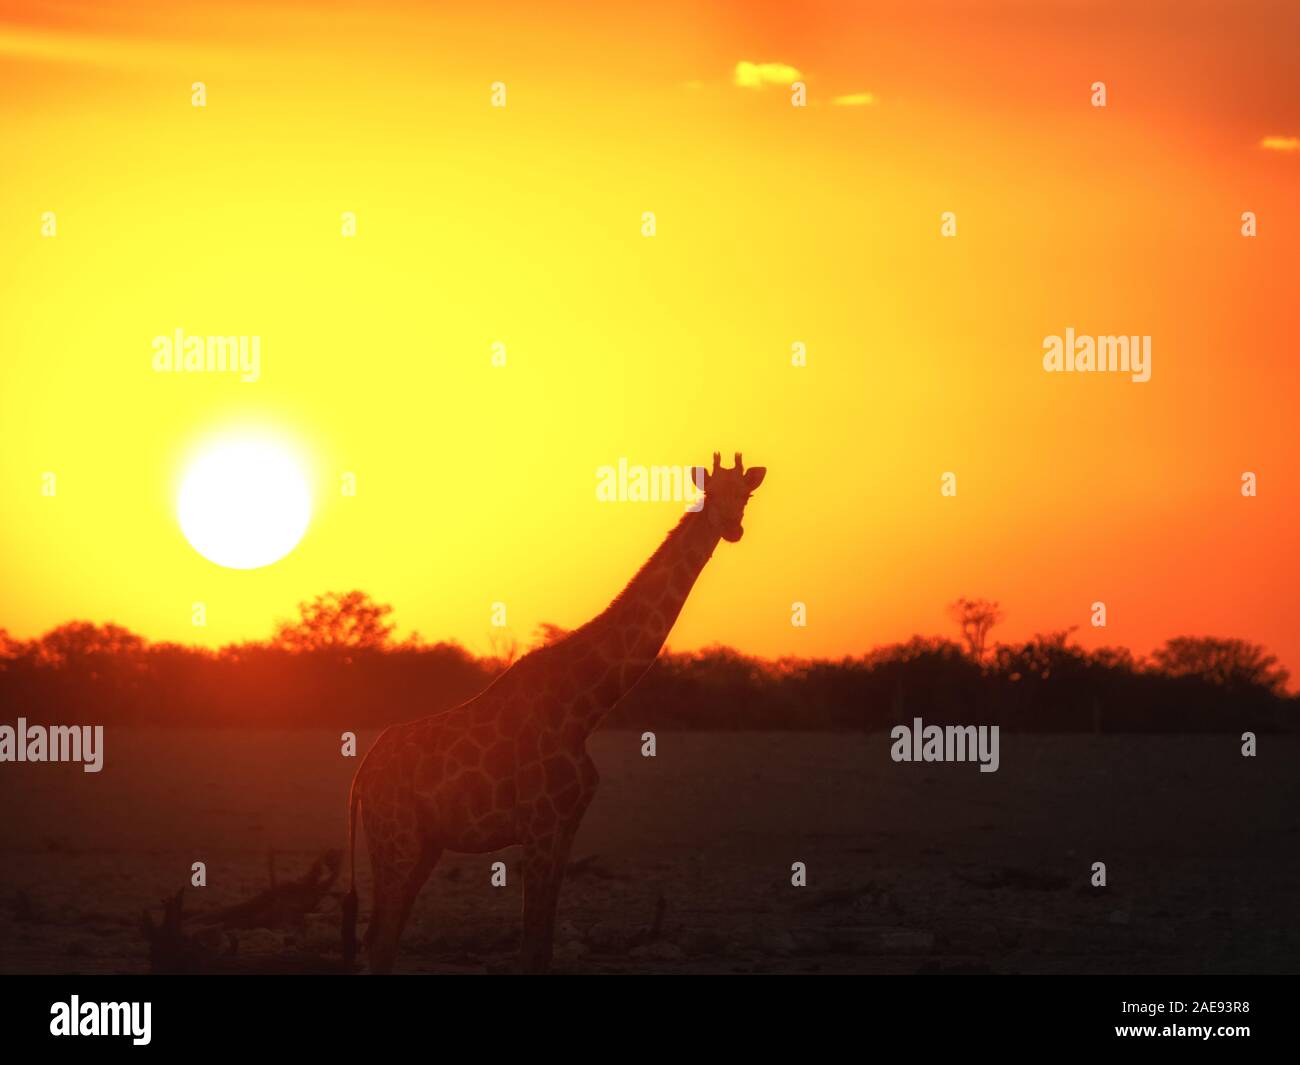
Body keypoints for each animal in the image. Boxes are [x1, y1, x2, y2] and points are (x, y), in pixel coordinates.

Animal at [341, 452, 766, 974]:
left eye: (746, 494)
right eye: (710, 492)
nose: (732, 527)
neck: (583, 709)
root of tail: (362, 776)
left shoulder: (565, 828)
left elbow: (541, 946)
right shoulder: (540, 828)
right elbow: (530, 949)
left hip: (423, 844)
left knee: (383, 937)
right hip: (396, 839)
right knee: (379, 937)